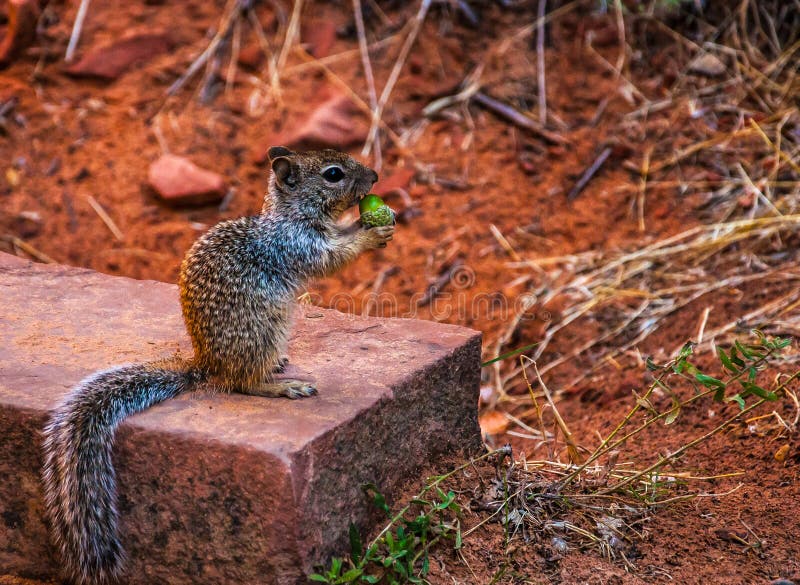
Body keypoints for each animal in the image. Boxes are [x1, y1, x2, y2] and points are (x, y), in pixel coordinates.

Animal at [41, 146, 394, 585]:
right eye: (333, 174)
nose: (375, 175)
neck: (290, 215)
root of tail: (206, 366)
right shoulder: (297, 246)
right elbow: (331, 256)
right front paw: (370, 233)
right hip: (266, 327)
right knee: (243, 382)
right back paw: (284, 386)